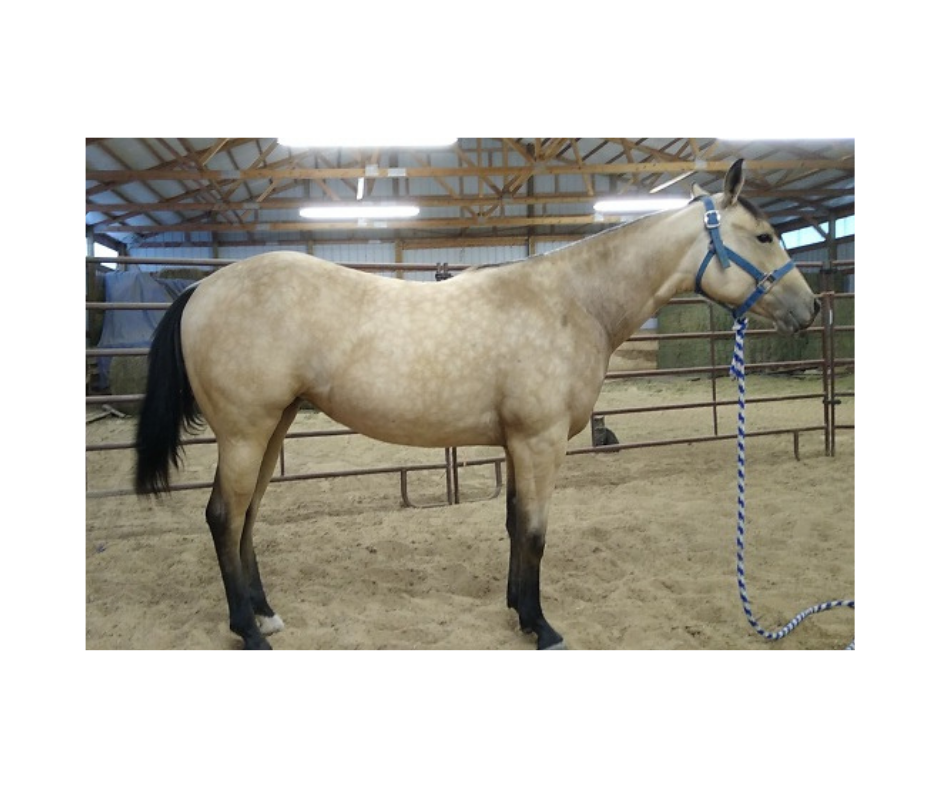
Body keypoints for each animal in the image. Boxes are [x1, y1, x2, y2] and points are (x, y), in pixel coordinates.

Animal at [135, 160, 820, 662]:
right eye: (764, 236)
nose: (810, 309)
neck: (572, 302)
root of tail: (203, 285)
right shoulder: (541, 441)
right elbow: (536, 532)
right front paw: (542, 626)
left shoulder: (518, 444)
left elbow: (515, 526)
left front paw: (518, 610)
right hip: (245, 433)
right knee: (223, 517)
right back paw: (247, 631)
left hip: (272, 429)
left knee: (247, 520)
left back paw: (266, 615)